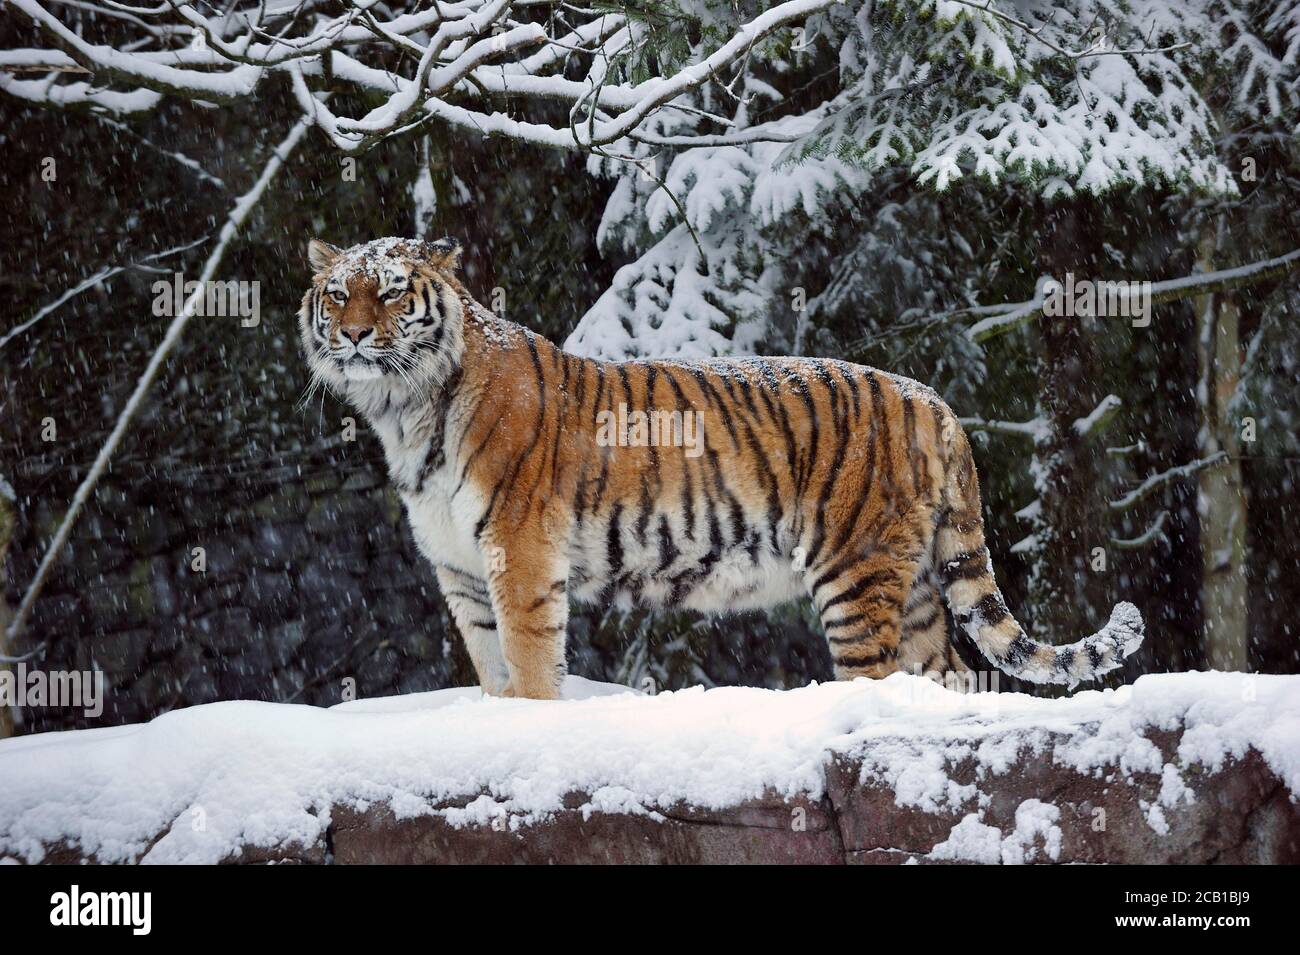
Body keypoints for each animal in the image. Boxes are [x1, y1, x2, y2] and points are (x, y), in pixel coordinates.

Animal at [298, 236, 1145, 700]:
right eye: (338, 293)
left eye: (391, 292)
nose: (354, 333)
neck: (404, 406)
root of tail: (929, 396)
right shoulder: (460, 566)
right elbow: (489, 659)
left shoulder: (520, 550)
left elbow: (532, 658)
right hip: (912, 586)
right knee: (951, 673)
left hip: (856, 570)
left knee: (876, 677)